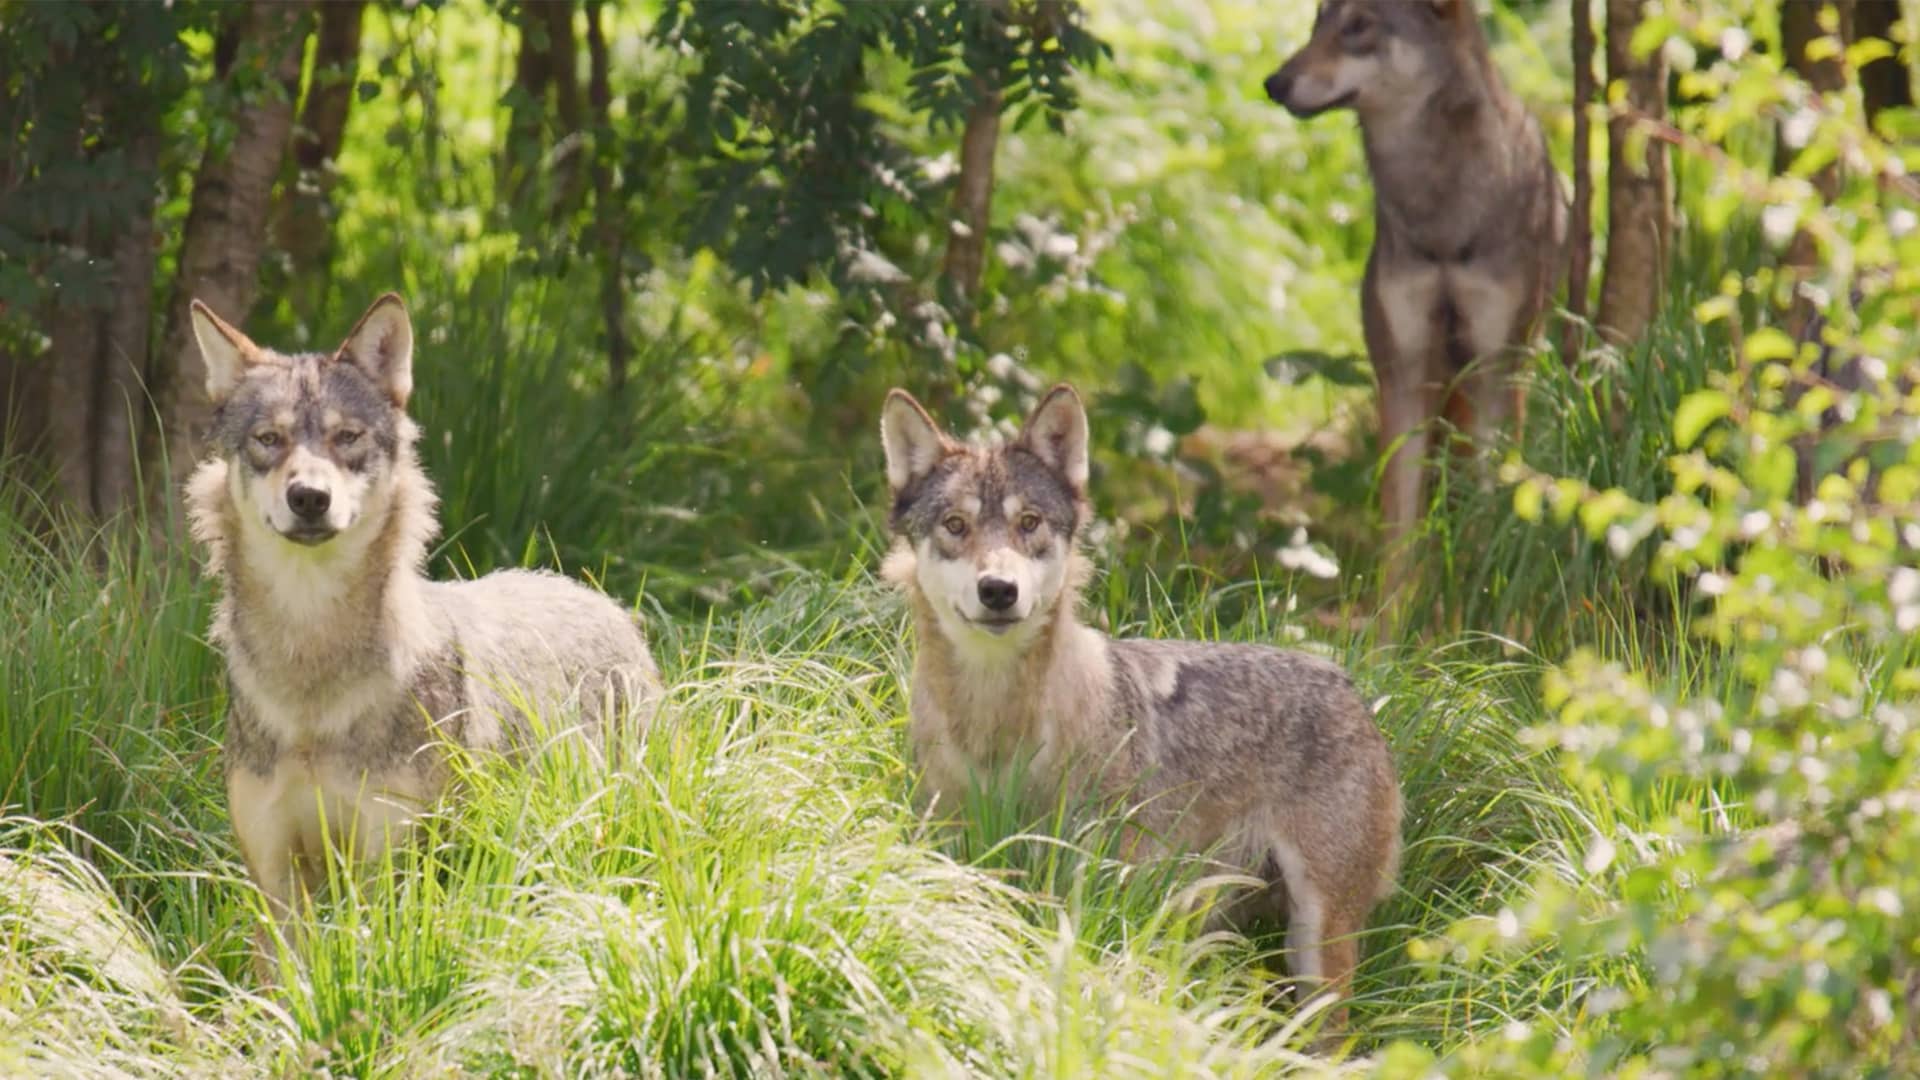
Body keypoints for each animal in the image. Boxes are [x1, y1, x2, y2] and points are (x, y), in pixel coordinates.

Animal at [184, 294, 659, 966]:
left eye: (347, 437)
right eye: (269, 440)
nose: (310, 497)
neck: (310, 684)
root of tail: (605, 603)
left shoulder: (388, 864)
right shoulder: (276, 880)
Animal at [880, 383, 1402, 1028]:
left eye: (1029, 523)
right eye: (955, 525)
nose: (999, 590)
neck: (996, 731)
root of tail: (1350, 686)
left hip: (1316, 941)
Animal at [1265, 0, 1568, 617]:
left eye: (1360, 25)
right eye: (1317, 21)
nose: (1274, 83)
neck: (1439, 215)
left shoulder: (1495, 371)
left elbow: (1483, 518)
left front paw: (1475, 621)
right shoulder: (1401, 373)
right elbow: (1400, 539)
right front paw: (1394, 634)